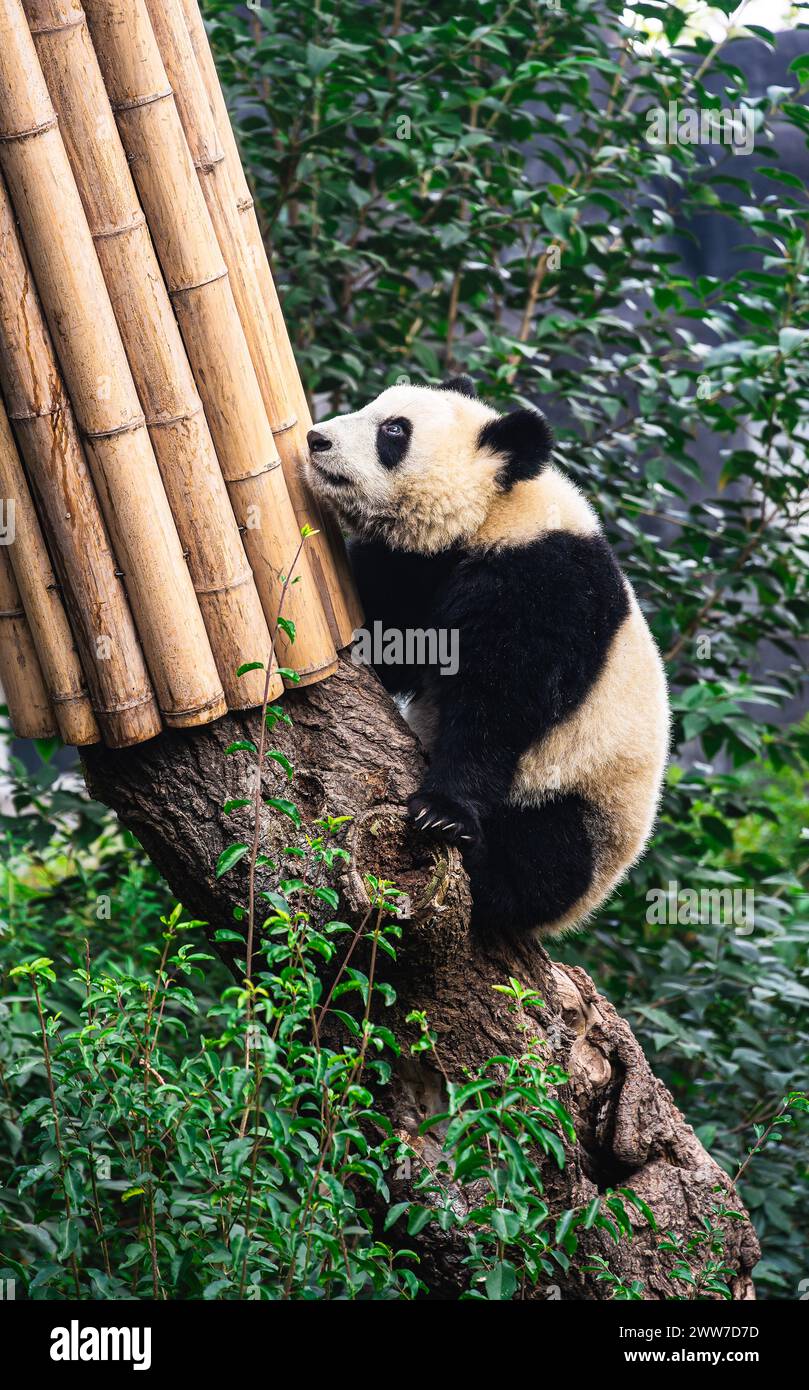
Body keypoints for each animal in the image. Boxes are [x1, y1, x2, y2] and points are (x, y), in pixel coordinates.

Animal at [304, 376, 670, 937]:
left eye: (394, 431)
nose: (316, 439)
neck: (495, 510)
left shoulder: (545, 580)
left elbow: (501, 705)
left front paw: (442, 814)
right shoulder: (419, 567)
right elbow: (394, 642)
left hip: (589, 798)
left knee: (549, 854)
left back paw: (493, 874)